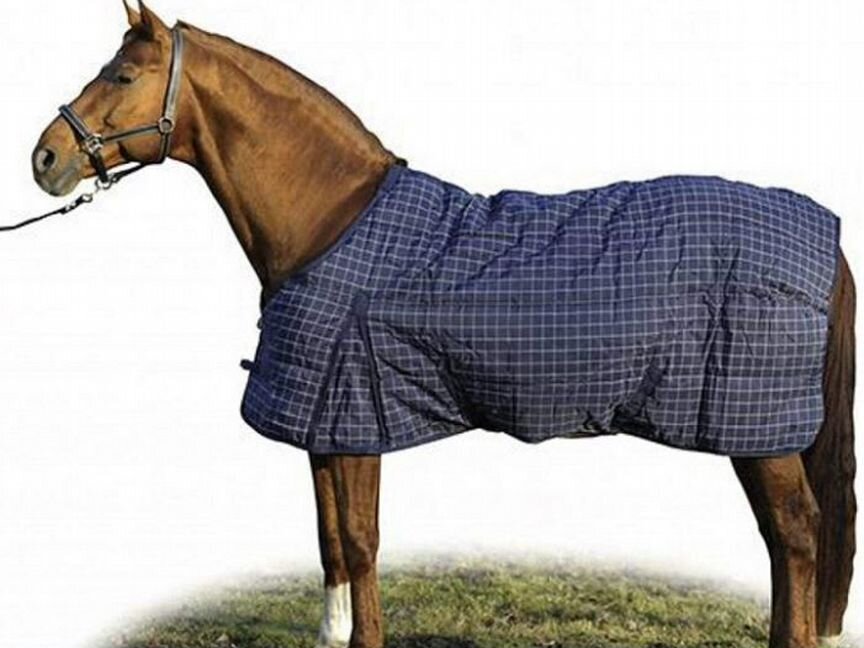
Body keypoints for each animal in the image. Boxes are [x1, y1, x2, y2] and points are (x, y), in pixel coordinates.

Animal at [28, 3, 856, 647]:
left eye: (122, 76)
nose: (45, 158)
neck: (331, 219)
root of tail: (824, 234)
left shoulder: (356, 410)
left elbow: (362, 541)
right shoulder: (325, 420)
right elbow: (331, 540)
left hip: (755, 427)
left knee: (796, 532)